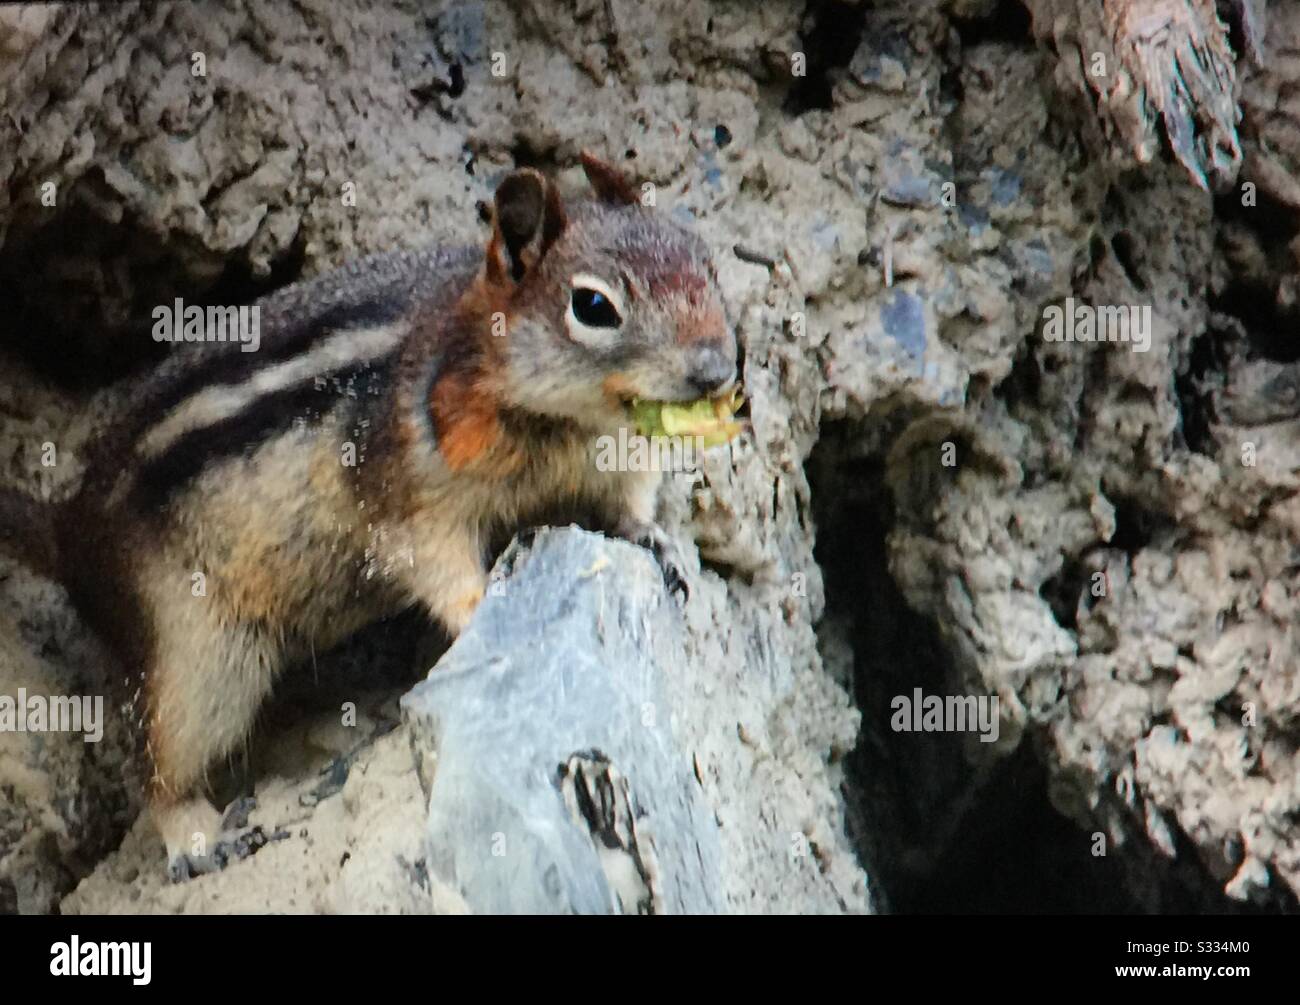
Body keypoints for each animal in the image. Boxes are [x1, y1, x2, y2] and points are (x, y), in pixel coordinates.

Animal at [0, 152, 738, 878]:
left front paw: (659, 542)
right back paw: (196, 836)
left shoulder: (622, 459)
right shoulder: (408, 496)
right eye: (593, 306)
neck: (569, 422)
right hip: (196, 648)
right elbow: (436, 563)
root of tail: (71, 531)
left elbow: (630, 503)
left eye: (705, 263)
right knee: (157, 760)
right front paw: (482, 606)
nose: (716, 368)